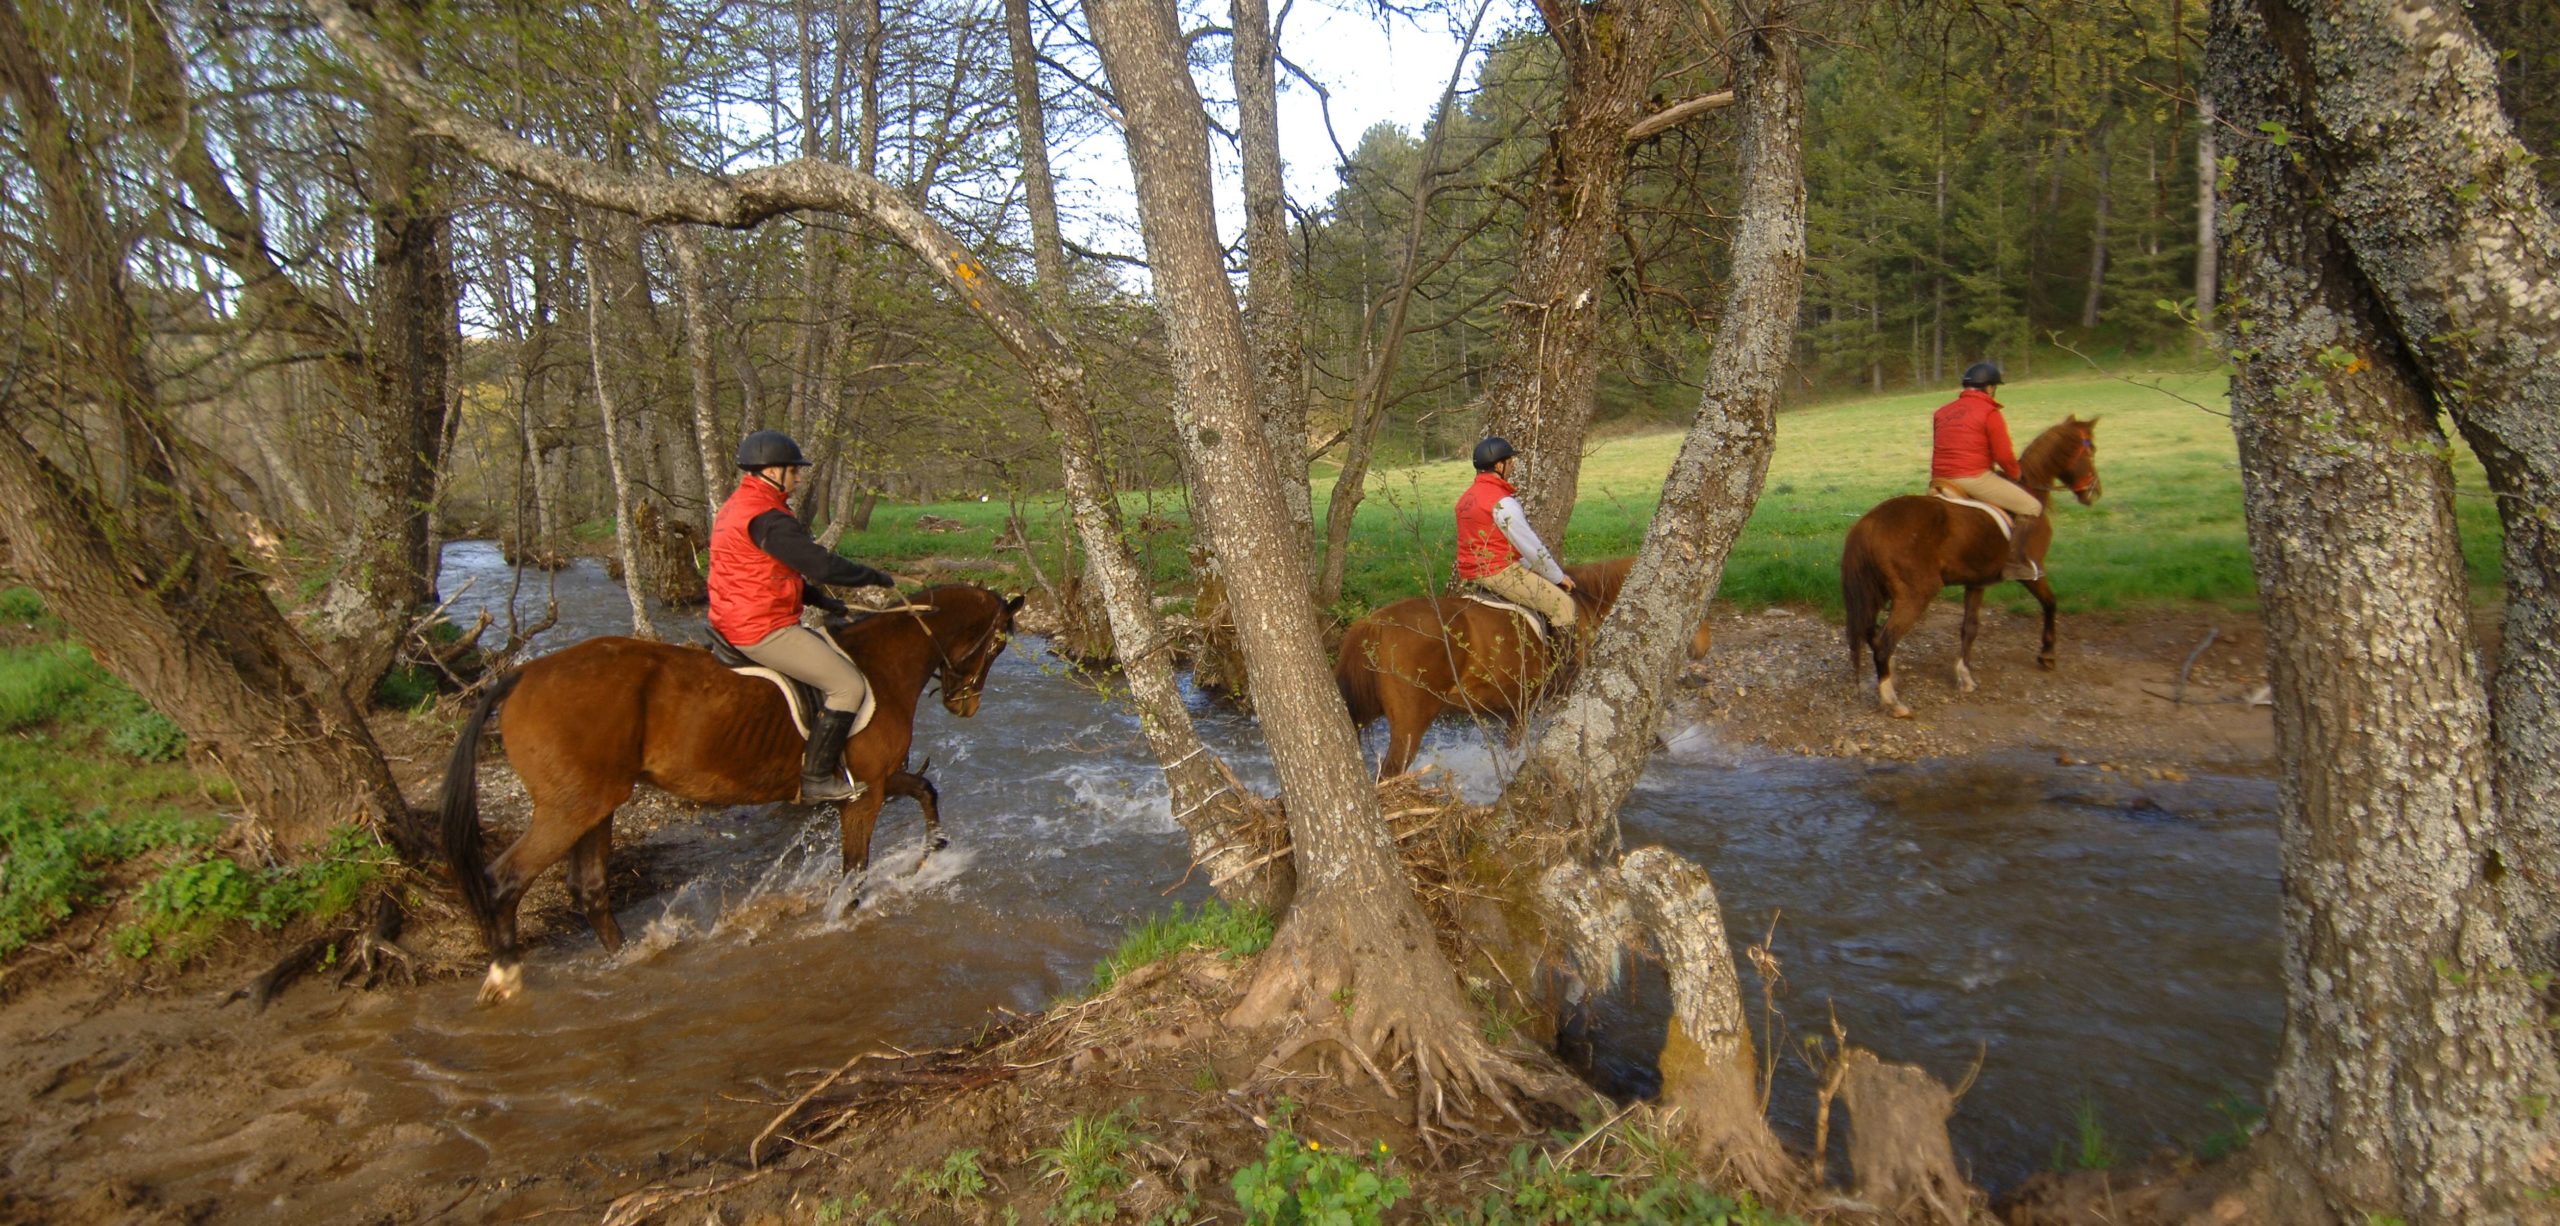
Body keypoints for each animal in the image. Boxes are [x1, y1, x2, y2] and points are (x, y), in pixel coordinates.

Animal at [436, 583, 1023, 1003]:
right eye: (997, 643)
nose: (964, 705)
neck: (885, 661)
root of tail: (523, 675)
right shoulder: (864, 794)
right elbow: (854, 872)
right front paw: (842, 920)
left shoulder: (878, 780)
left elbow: (926, 789)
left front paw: (932, 856)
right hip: (568, 809)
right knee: (505, 879)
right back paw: (505, 975)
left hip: (596, 806)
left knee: (591, 889)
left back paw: (626, 961)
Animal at [1334, 557, 1714, 778]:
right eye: (1701, 604)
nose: (1702, 650)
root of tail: (1374, 623)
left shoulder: (1517, 708)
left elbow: (1511, 748)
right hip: (1411, 722)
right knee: (1391, 772)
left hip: (1366, 707)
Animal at [1840, 416, 2102, 718]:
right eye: (2090, 450)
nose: (2094, 492)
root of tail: (1868, 523)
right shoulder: (2033, 574)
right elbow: (2050, 604)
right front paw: (2047, 654)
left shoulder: (1976, 582)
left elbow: (1970, 627)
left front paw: (1964, 675)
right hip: (1915, 595)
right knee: (1883, 642)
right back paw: (1893, 701)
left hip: (1879, 592)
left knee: (1872, 634)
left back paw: (1891, 677)